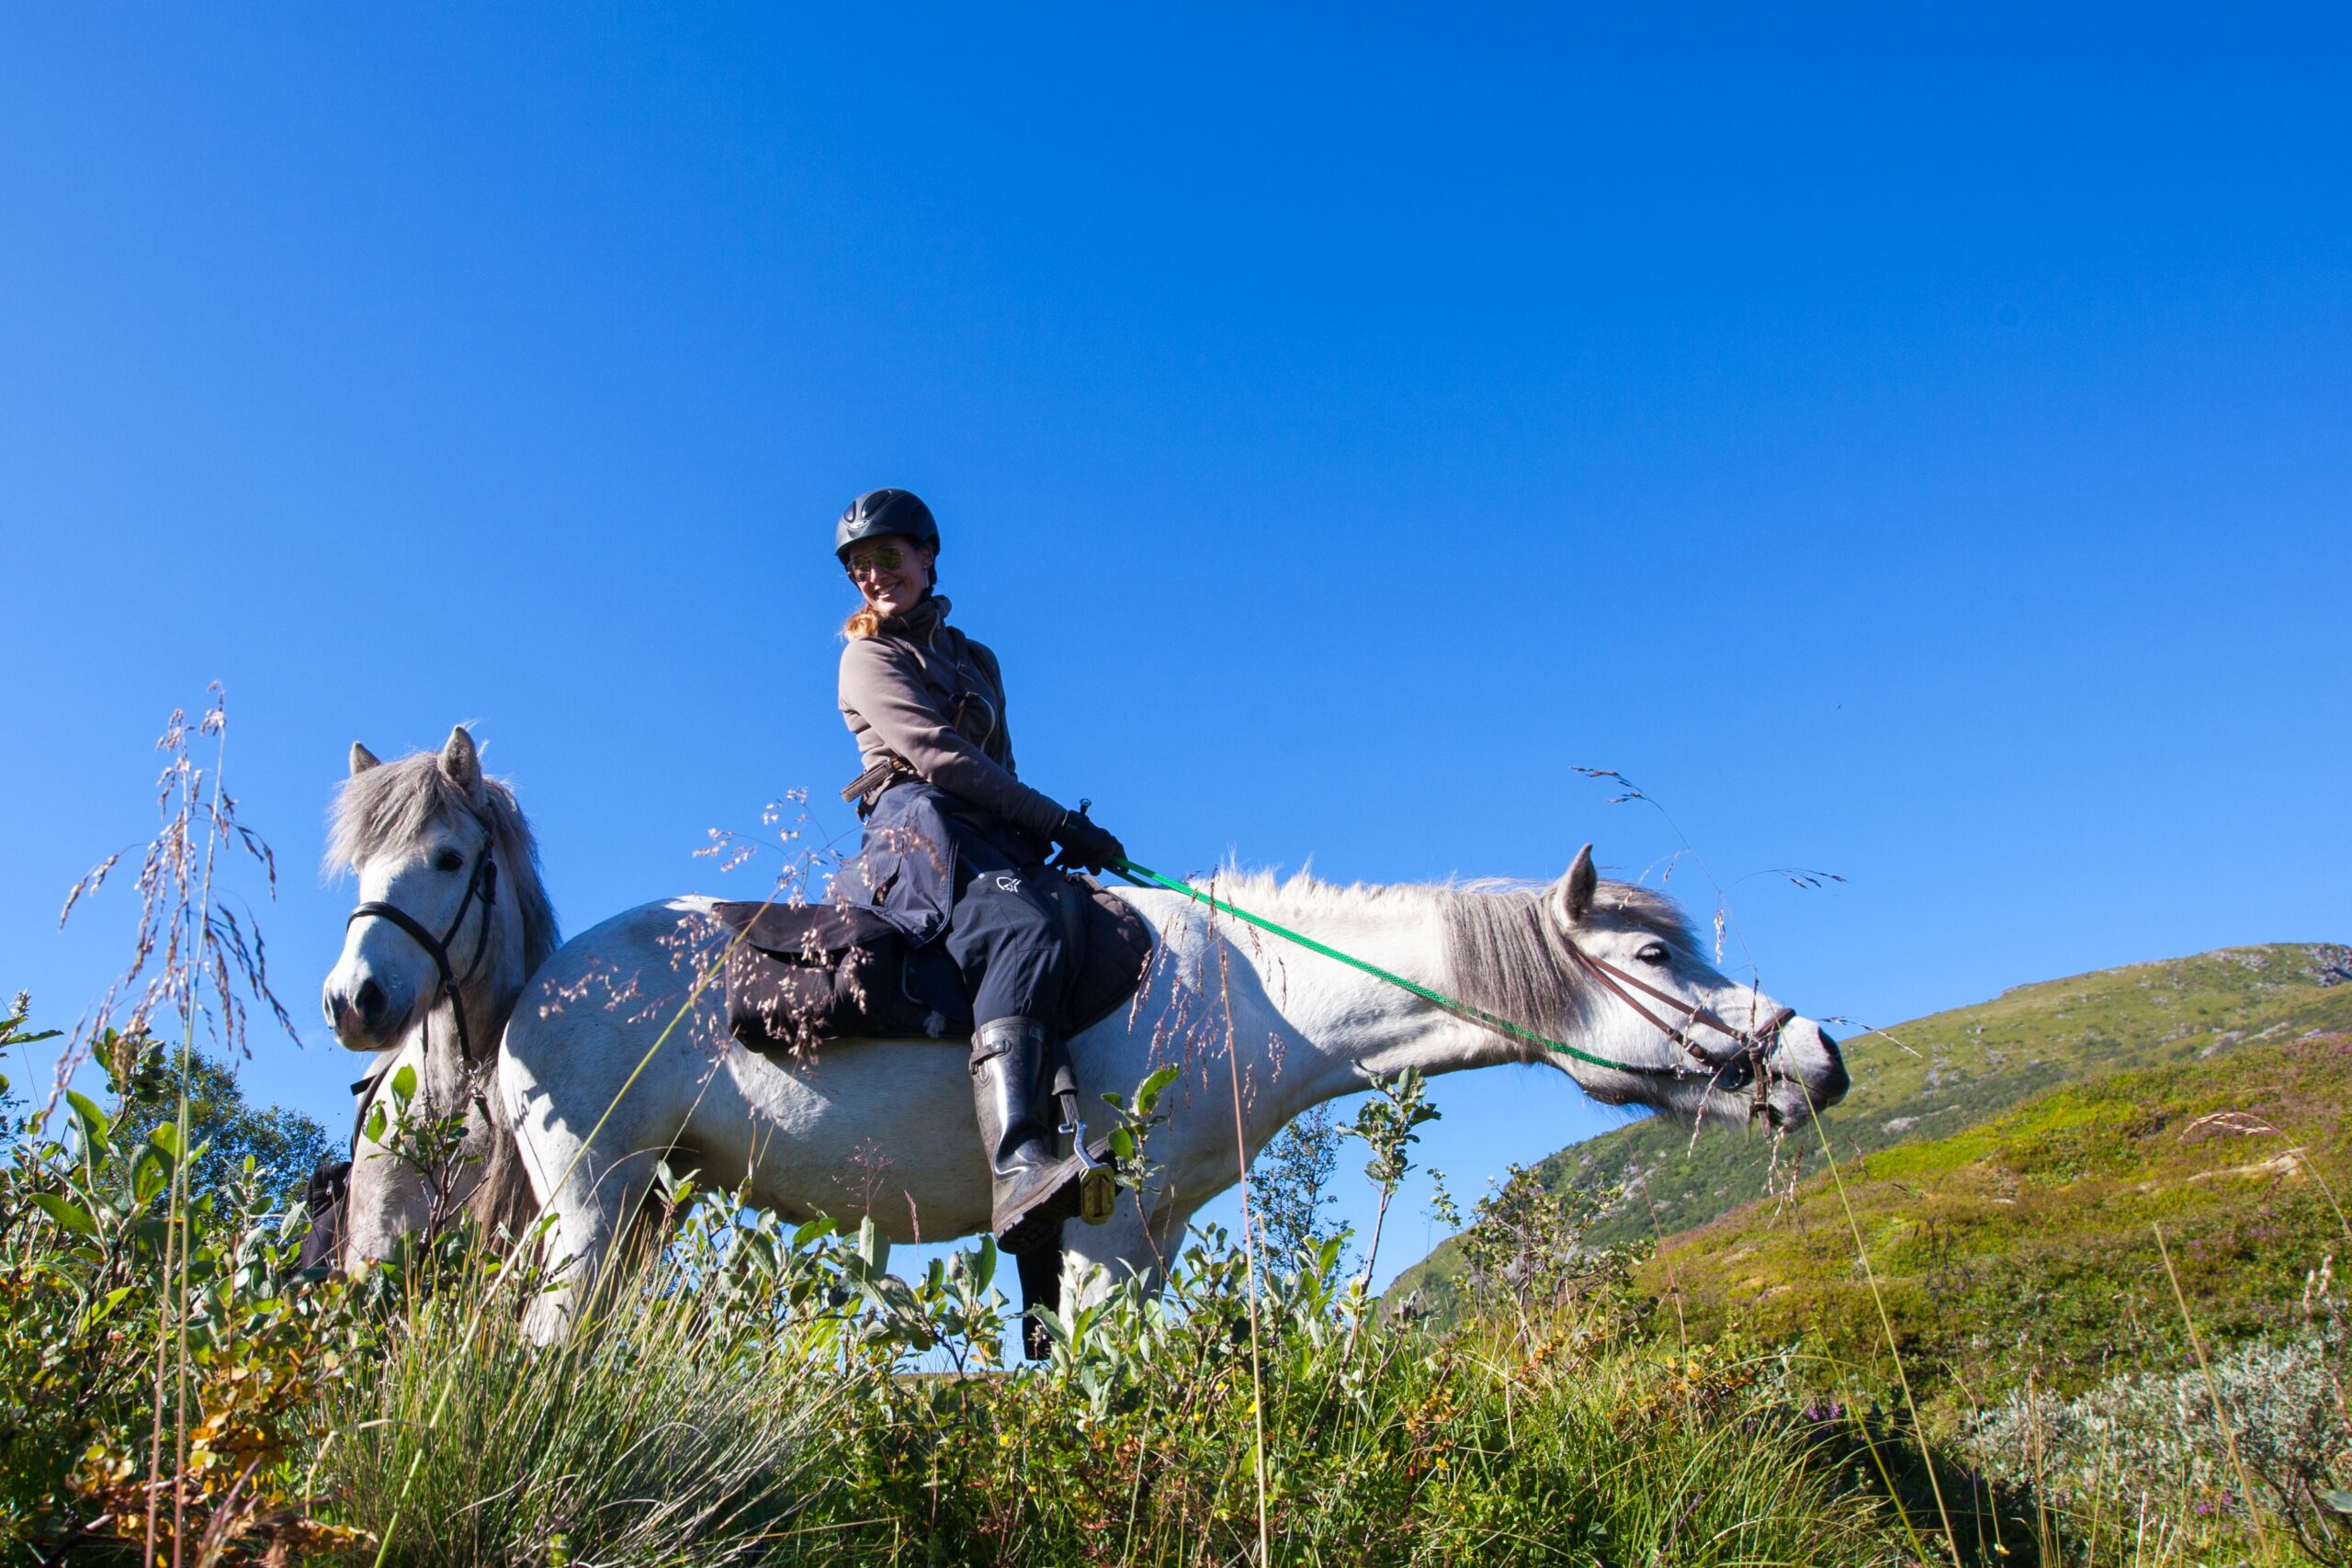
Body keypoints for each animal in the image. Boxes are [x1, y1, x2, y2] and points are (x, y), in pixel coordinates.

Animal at [498, 832, 1850, 1342]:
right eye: (1657, 958)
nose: (1817, 1059)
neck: (1251, 993)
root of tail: (536, 984)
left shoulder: (1147, 1243)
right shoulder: (1105, 1236)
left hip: (641, 1205)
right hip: (594, 1199)